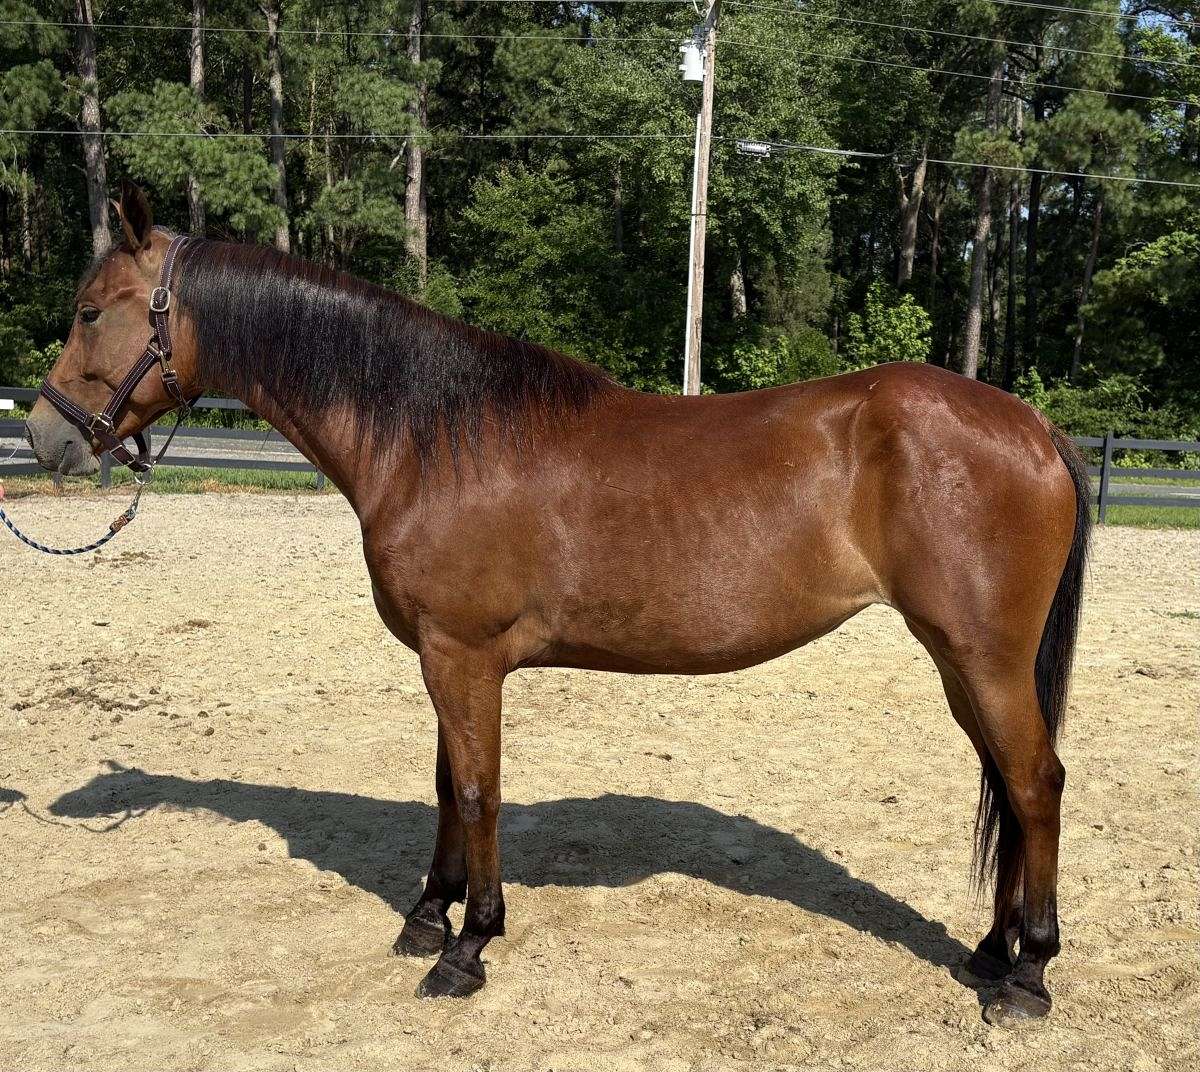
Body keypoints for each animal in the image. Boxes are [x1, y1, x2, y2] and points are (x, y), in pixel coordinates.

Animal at [24, 183, 1090, 1023]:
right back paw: (989, 956)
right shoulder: (441, 656)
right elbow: (445, 784)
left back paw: (1030, 976)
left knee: (1035, 784)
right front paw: (426, 918)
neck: (429, 438)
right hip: (959, 660)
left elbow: (478, 790)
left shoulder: (463, 655)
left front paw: (467, 949)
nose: (45, 436)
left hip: (985, 656)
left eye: (92, 311)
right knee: (1006, 782)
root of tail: (1033, 427)